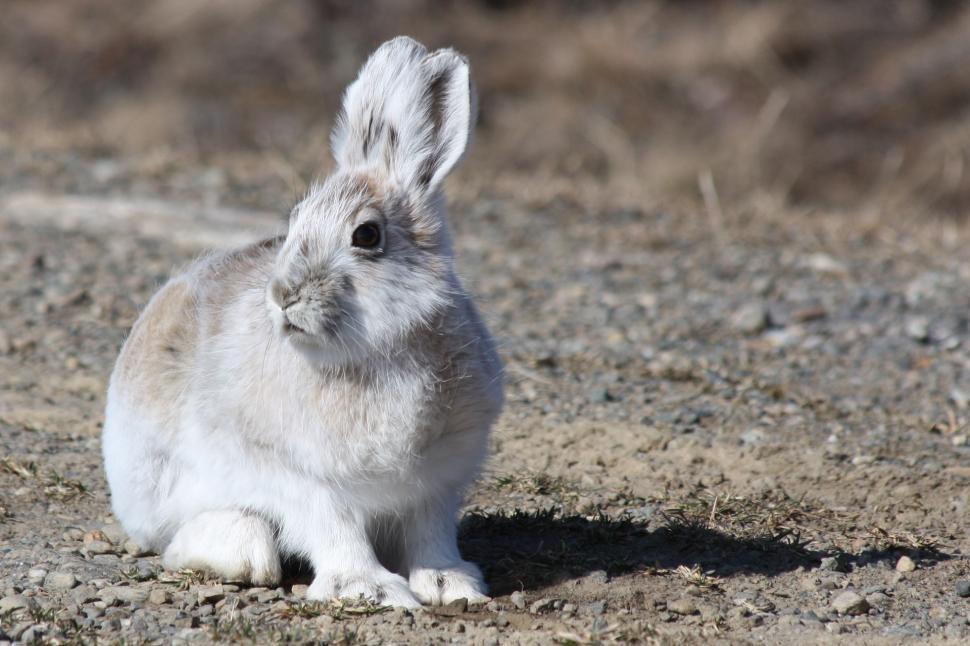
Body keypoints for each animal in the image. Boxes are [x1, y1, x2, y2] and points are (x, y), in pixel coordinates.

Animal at [102, 36, 503, 608]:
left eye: (366, 235)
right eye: (294, 223)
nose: (282, 295)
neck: (372, 353)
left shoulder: (438, 479)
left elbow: (430, 533)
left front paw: (451, 584)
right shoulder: (297, 475)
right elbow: (334, 528)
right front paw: (369, 589)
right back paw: (242, 552)